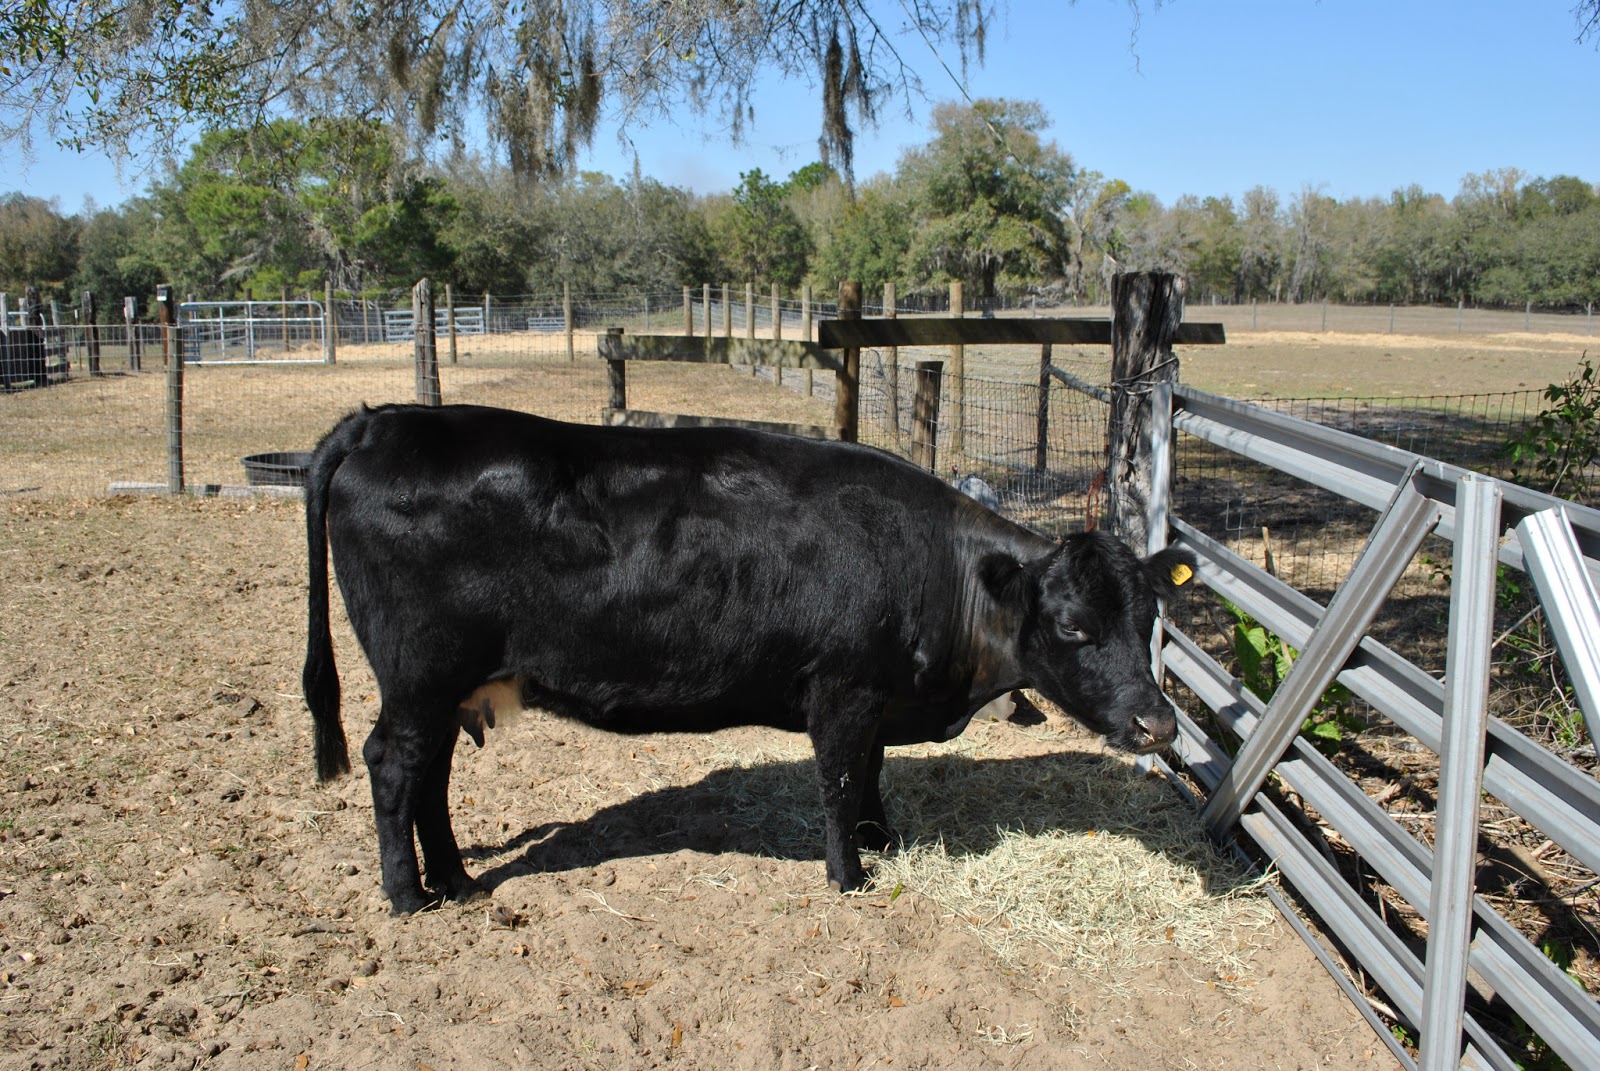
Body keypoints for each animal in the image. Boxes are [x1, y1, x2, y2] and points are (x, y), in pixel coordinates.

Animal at [303, 403, 1195, 914]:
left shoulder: (876, 698)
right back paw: (407, 894)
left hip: (449, 686)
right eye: (1074, 627)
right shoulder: (841, 690)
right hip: (420, 677)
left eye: (1151, 616)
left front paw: (882, 839)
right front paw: (849, 874)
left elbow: (872, 774)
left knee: (430, 776)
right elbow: (839, 782)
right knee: (393, 764)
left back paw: (454, 880)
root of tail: (386, 419)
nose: (1159, 724)